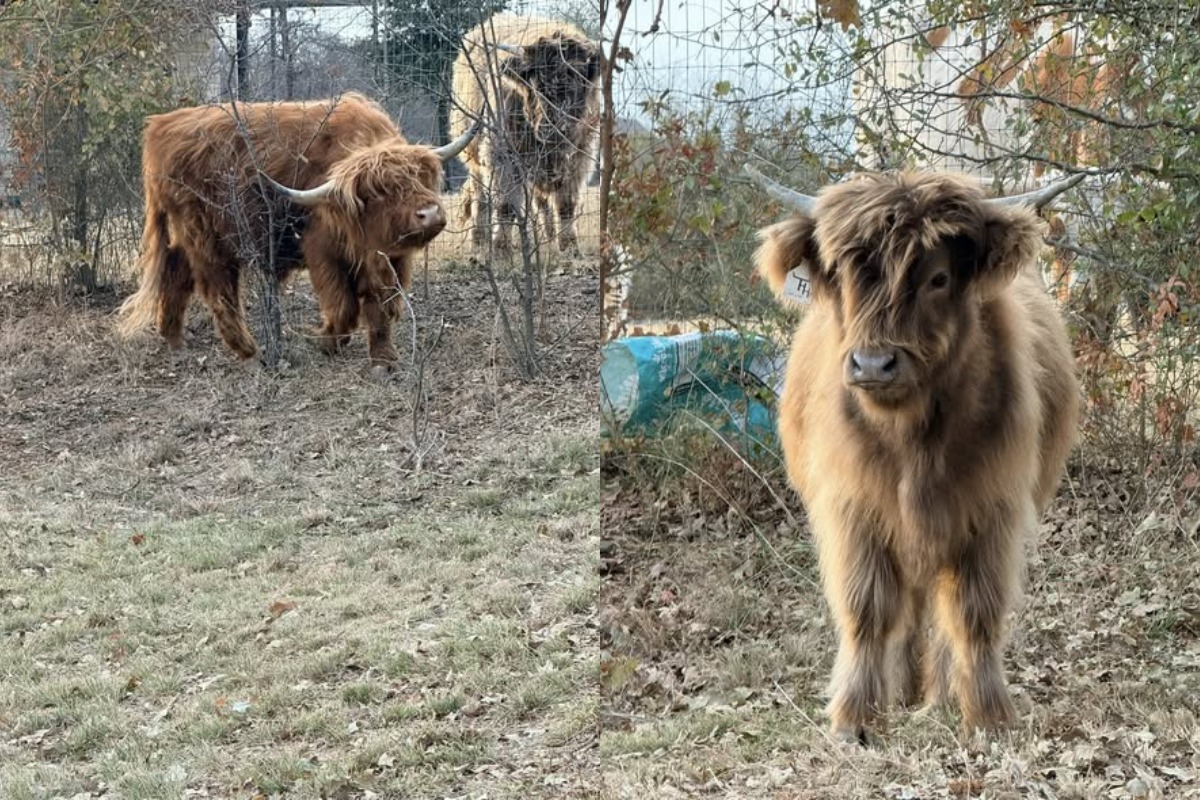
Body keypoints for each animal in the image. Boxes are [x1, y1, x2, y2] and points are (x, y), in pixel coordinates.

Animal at [117, 92, 475, 367]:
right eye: (378, 193)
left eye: (419, 177)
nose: (429, 214)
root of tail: (161, 127)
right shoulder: (322, 251)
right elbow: (344, 306)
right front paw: (327, 341)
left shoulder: (390, 257)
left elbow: (381, 305)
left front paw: (384, 358)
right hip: (205, 237)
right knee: (219, 291)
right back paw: (248, 352)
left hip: (184, 236)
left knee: (176, 276)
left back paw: (174, 340)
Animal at [450, 14, 601, 256]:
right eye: (536, 82)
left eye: (576, 77)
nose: (551, 128)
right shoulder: (502, 154)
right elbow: (506, 205)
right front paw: (501, 249)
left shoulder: (580, 155)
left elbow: (566, 204)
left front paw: (569, 247)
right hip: (473, 152)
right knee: (480, 196)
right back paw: (479, 241)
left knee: (540, 201)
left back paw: (548, 238)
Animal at [747, 165, 1081, 741]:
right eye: (844, 275)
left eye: (938, 278)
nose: (873, 364)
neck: (912, 441)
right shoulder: (854, 507)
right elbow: (868, 608)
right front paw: (854, 717)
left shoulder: (990, 508)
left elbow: (973, 611)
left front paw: (987, 715)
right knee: (906, 603)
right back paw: (903, 689)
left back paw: (940, 694)